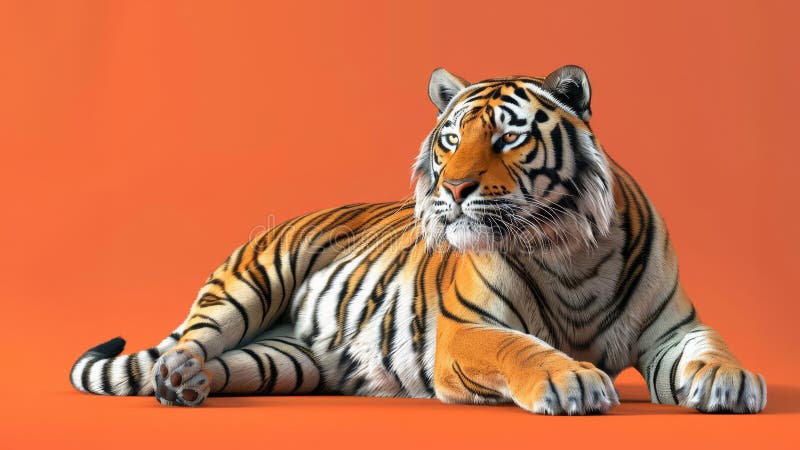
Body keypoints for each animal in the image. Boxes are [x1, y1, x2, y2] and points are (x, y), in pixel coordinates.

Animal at [70, 65, 767, 414]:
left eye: (508, 137)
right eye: (452, 139)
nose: (453, 188)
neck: (570, 254)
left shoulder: (675, 327)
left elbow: (709, 348)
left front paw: (732, 383)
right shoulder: (465, 332)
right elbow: (522, 349)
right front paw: (572, 381)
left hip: (283, 359)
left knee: (234, 361)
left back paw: (189, 386)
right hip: (251, 279)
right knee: (193, 337)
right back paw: (176, 374)